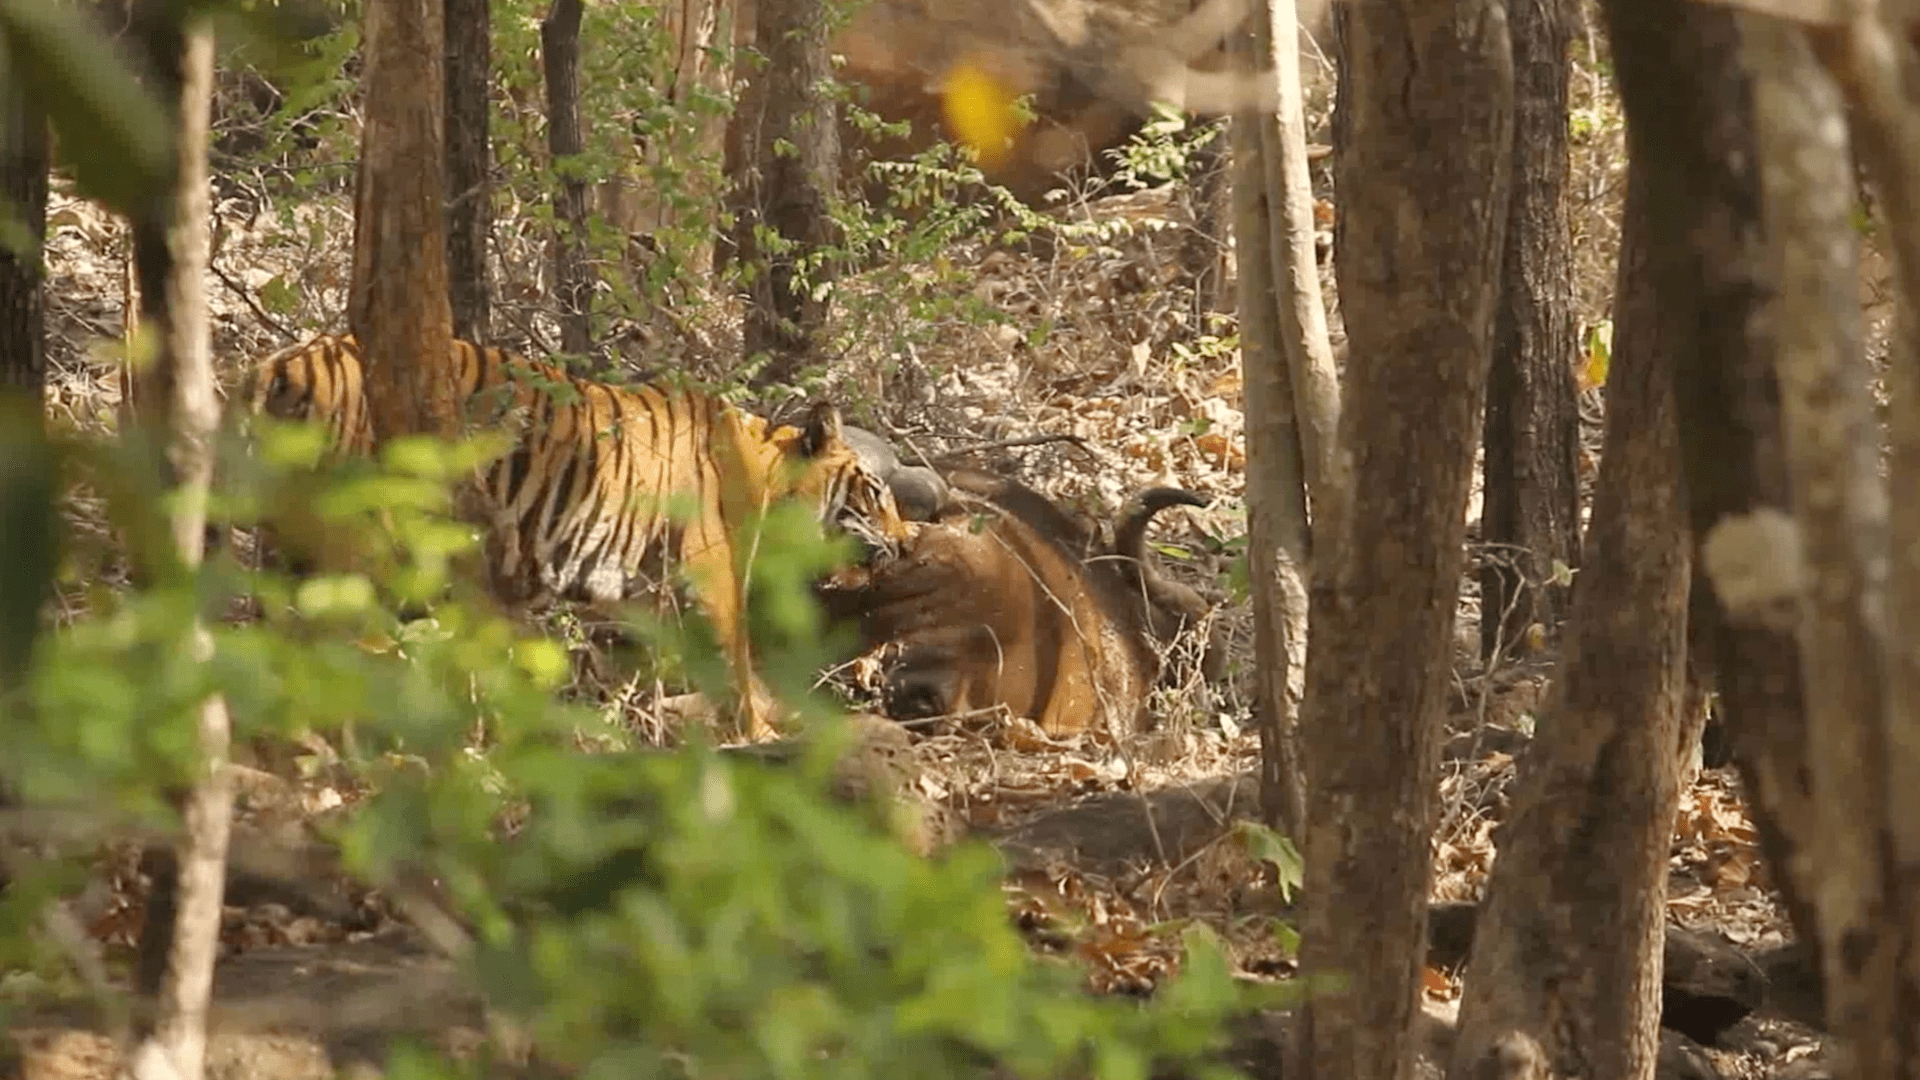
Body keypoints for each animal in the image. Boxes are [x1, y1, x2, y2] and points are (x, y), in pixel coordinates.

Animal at [242, 332, 911, 740]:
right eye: (877, 494)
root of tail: (282, 364)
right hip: (363, 545)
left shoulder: (640, 590)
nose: (907, 544)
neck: (760, 469)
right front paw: (758, 731)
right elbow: (739, 659)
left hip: (288, 546)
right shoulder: (711, 574)